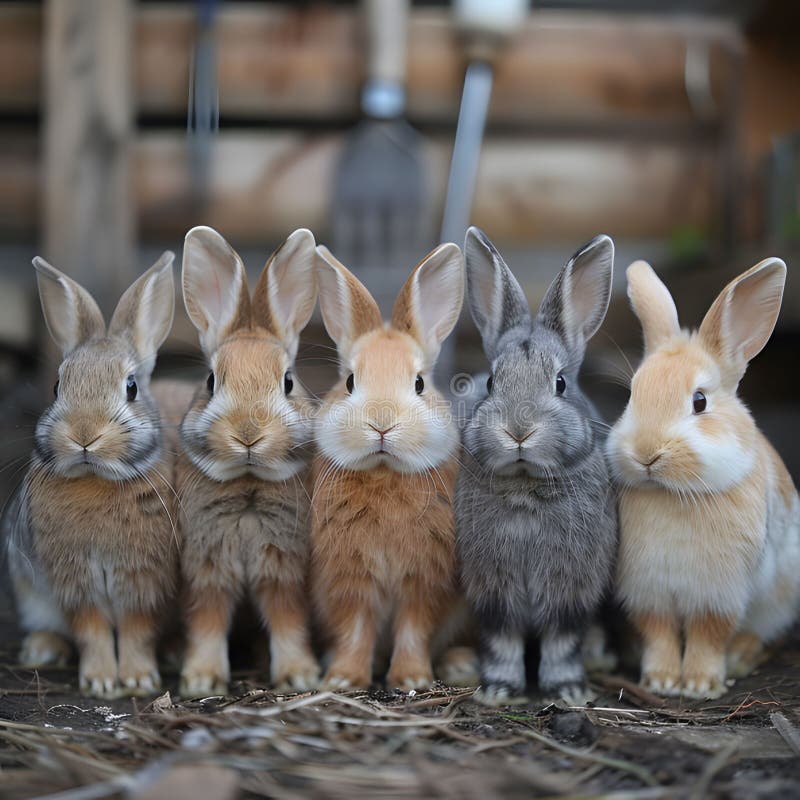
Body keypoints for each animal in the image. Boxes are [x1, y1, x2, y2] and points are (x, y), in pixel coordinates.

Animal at [4, 252, 178, 698]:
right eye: (56, 386)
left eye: (131, 387)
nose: (84, 434)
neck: (95, 481)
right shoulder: (73, 580)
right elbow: (91, 629)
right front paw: (101, 681)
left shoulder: (144, 579)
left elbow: (136, 629)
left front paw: (137, 679)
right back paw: (43, 649)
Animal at [177, 226, 320, 696]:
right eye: (210, 381)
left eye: (288, 382)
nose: (248, 434)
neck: (248, 484)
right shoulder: (206, 563)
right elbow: (207, 618)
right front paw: (201, 679)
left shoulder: (283, 564)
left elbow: (287, 617)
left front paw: (299, 674)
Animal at [310, 242, 467, 691]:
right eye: (349, 382)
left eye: (419, 384)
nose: (381, 423)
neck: (384, 473)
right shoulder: (349, 578)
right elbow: (356, 628)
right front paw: (344, 679)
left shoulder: (426, 579)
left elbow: (415, 629)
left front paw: (413, 678)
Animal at [456, 227, 618, 706]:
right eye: (491, 382)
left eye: (561, 383)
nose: (518, 431)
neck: (525, 485)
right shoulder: (492, 587)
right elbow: (502, 637)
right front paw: (497, 690)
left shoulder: (572, 586)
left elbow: (562, 639)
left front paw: (569, 690)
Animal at [606, 258, 800, 699]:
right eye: (632, 396)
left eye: (700, 401)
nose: (646, 453)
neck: (674, 494)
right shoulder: (648, 590)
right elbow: (658, 632)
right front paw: (660, 680)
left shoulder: (720, 593)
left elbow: (709, 634)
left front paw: (698, 685)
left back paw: (742, 655)